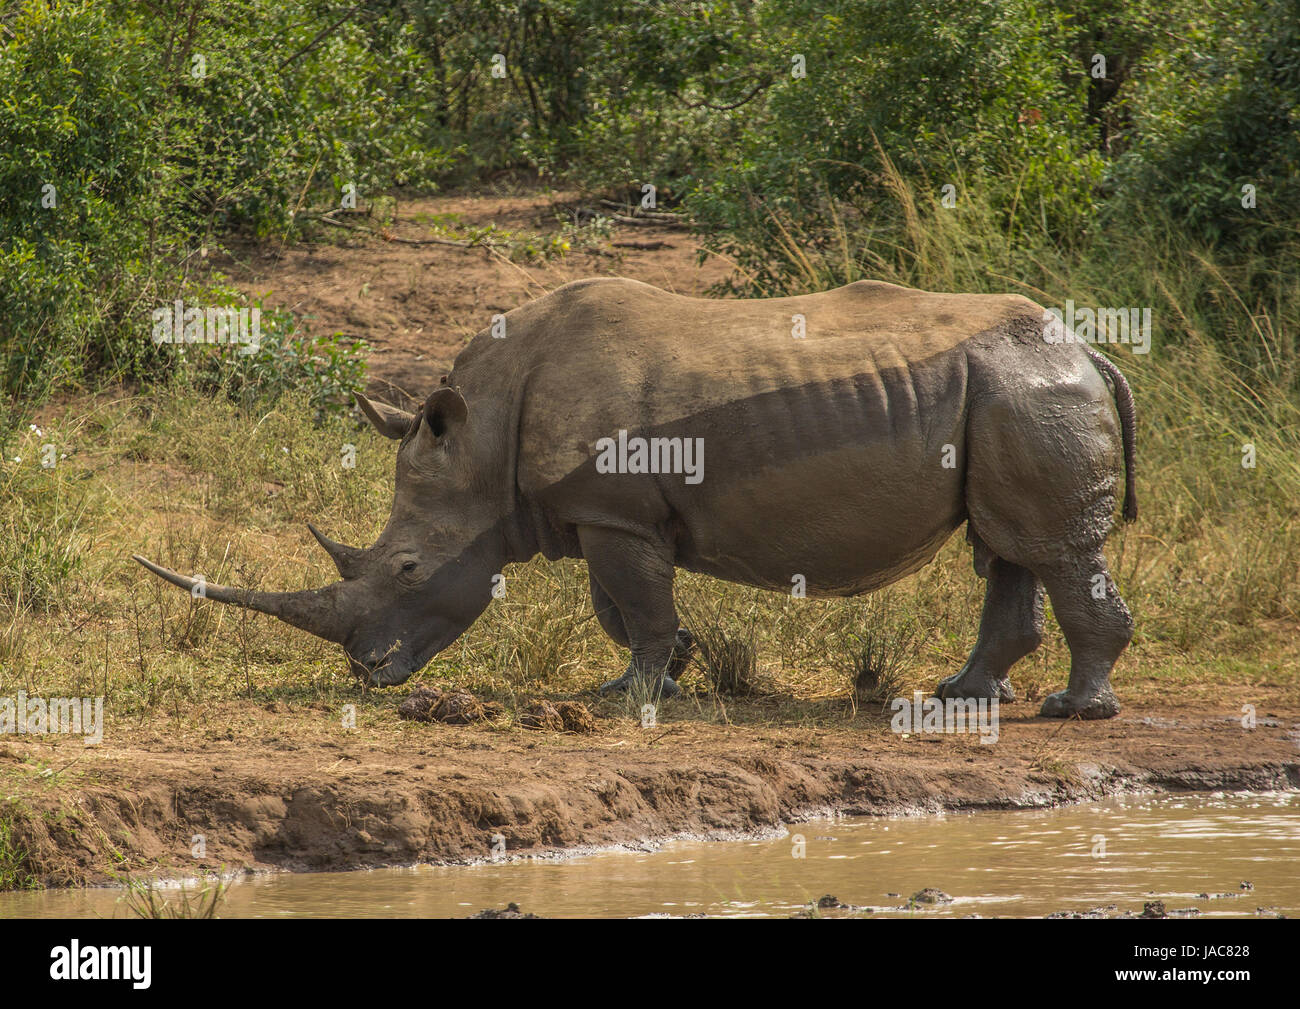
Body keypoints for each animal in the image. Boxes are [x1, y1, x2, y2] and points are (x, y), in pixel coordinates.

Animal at [135, 277, 1137, 720]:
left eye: (409, 567)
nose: (366, 672)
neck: (485, 432)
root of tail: (1088, 348)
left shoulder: (614, 513)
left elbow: (637, 603)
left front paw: (642, 694)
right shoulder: (598, 512)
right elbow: (614, 606)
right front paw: (638, 679)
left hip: (1027, 392)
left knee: (1053, 549)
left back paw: (1074, 710)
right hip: (1003, 392)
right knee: (1009, 545)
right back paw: (964, 695)